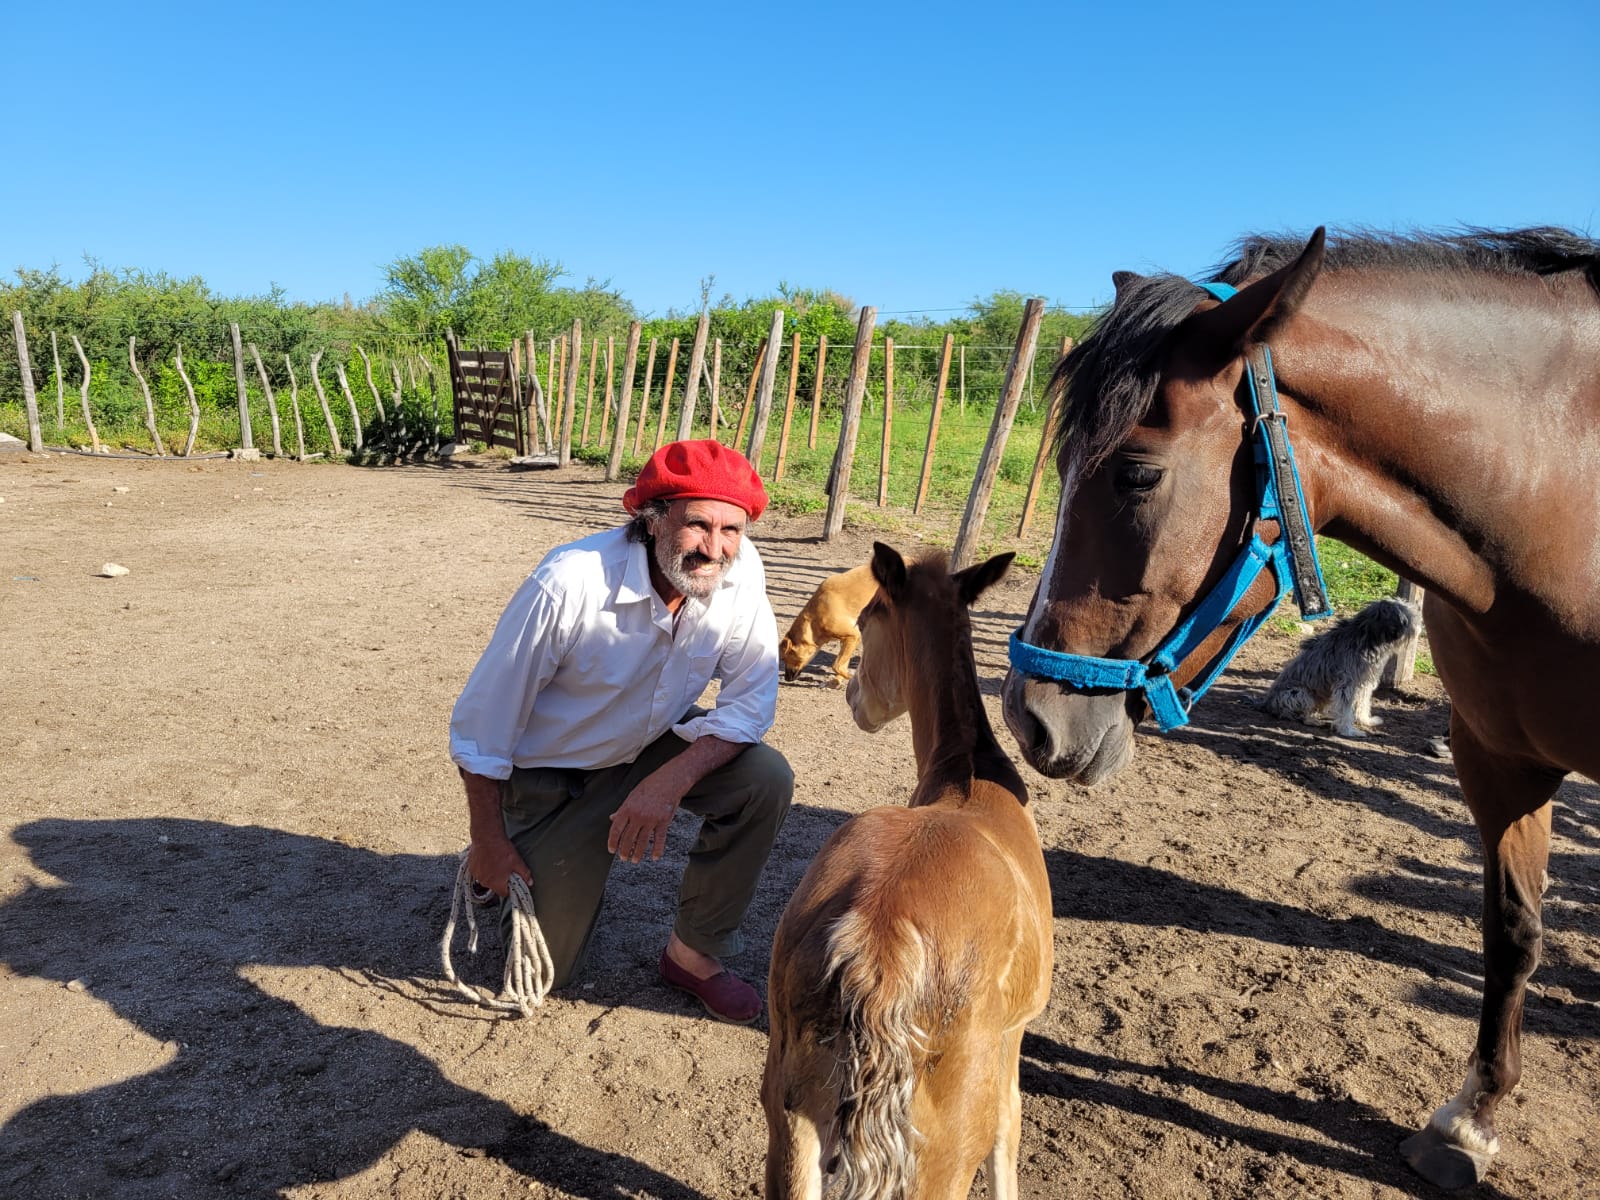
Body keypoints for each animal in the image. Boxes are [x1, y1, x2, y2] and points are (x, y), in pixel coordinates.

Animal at [763, 543, 1053, 1199]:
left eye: (869, 616)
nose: (852, 696)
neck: (970, 775)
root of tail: (882, 941)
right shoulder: (1013, 1046)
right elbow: (1008, 1140)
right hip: (943, 1150)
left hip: (789, 1117)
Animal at [1001, 226, 1600, 1189]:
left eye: (1137, 474)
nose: (1031, 718)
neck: (1561, 501)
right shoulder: (1499, 760)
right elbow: (1513, 930)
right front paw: (1469, 1122)